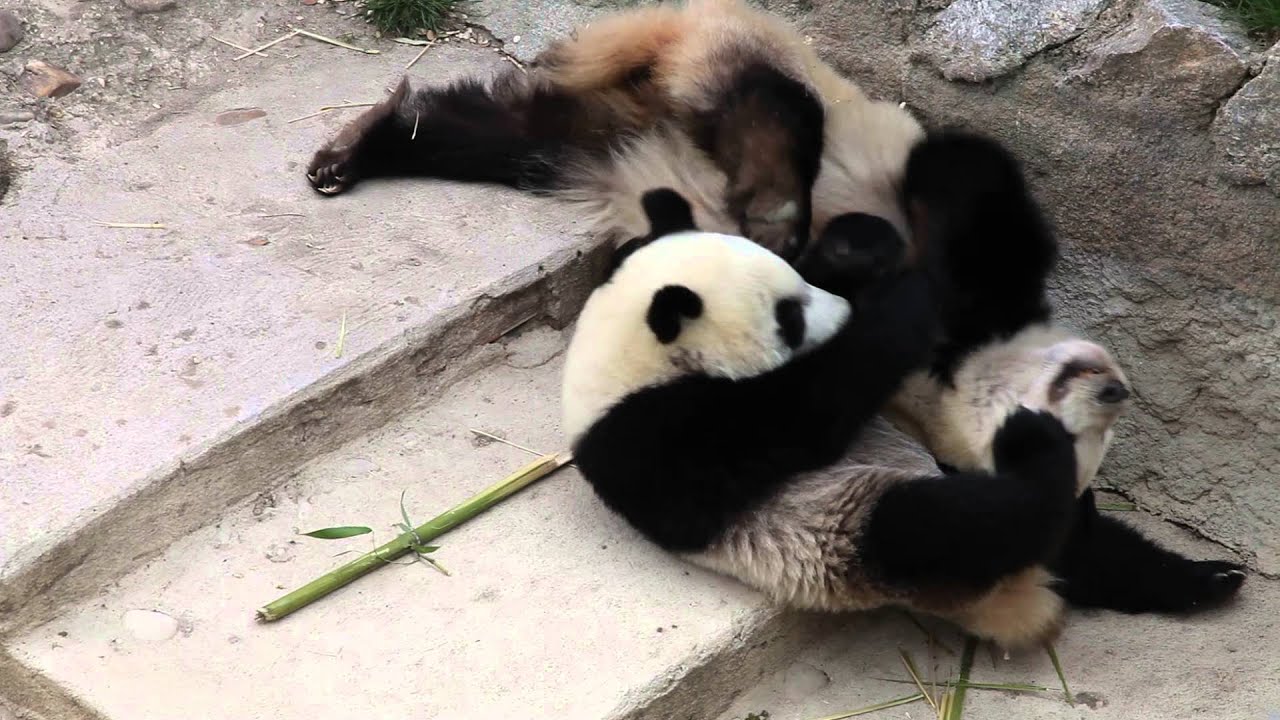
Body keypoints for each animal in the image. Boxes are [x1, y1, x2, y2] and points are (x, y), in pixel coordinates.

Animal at [304, 0, 927, 262]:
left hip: (602, 124)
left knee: (502, 131)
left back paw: (354, 149)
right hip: (757, 69)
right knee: (771, 107)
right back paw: (774, 214)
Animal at [561, 187, 1087, 650]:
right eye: (789, 317)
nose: (843, 312)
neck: (629, 365)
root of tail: (1009, 600)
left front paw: (861, 244)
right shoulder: (659, 441)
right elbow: (817, 406)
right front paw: (908, 293)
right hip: (851, 531)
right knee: (957, 522)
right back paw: (1034, 443)